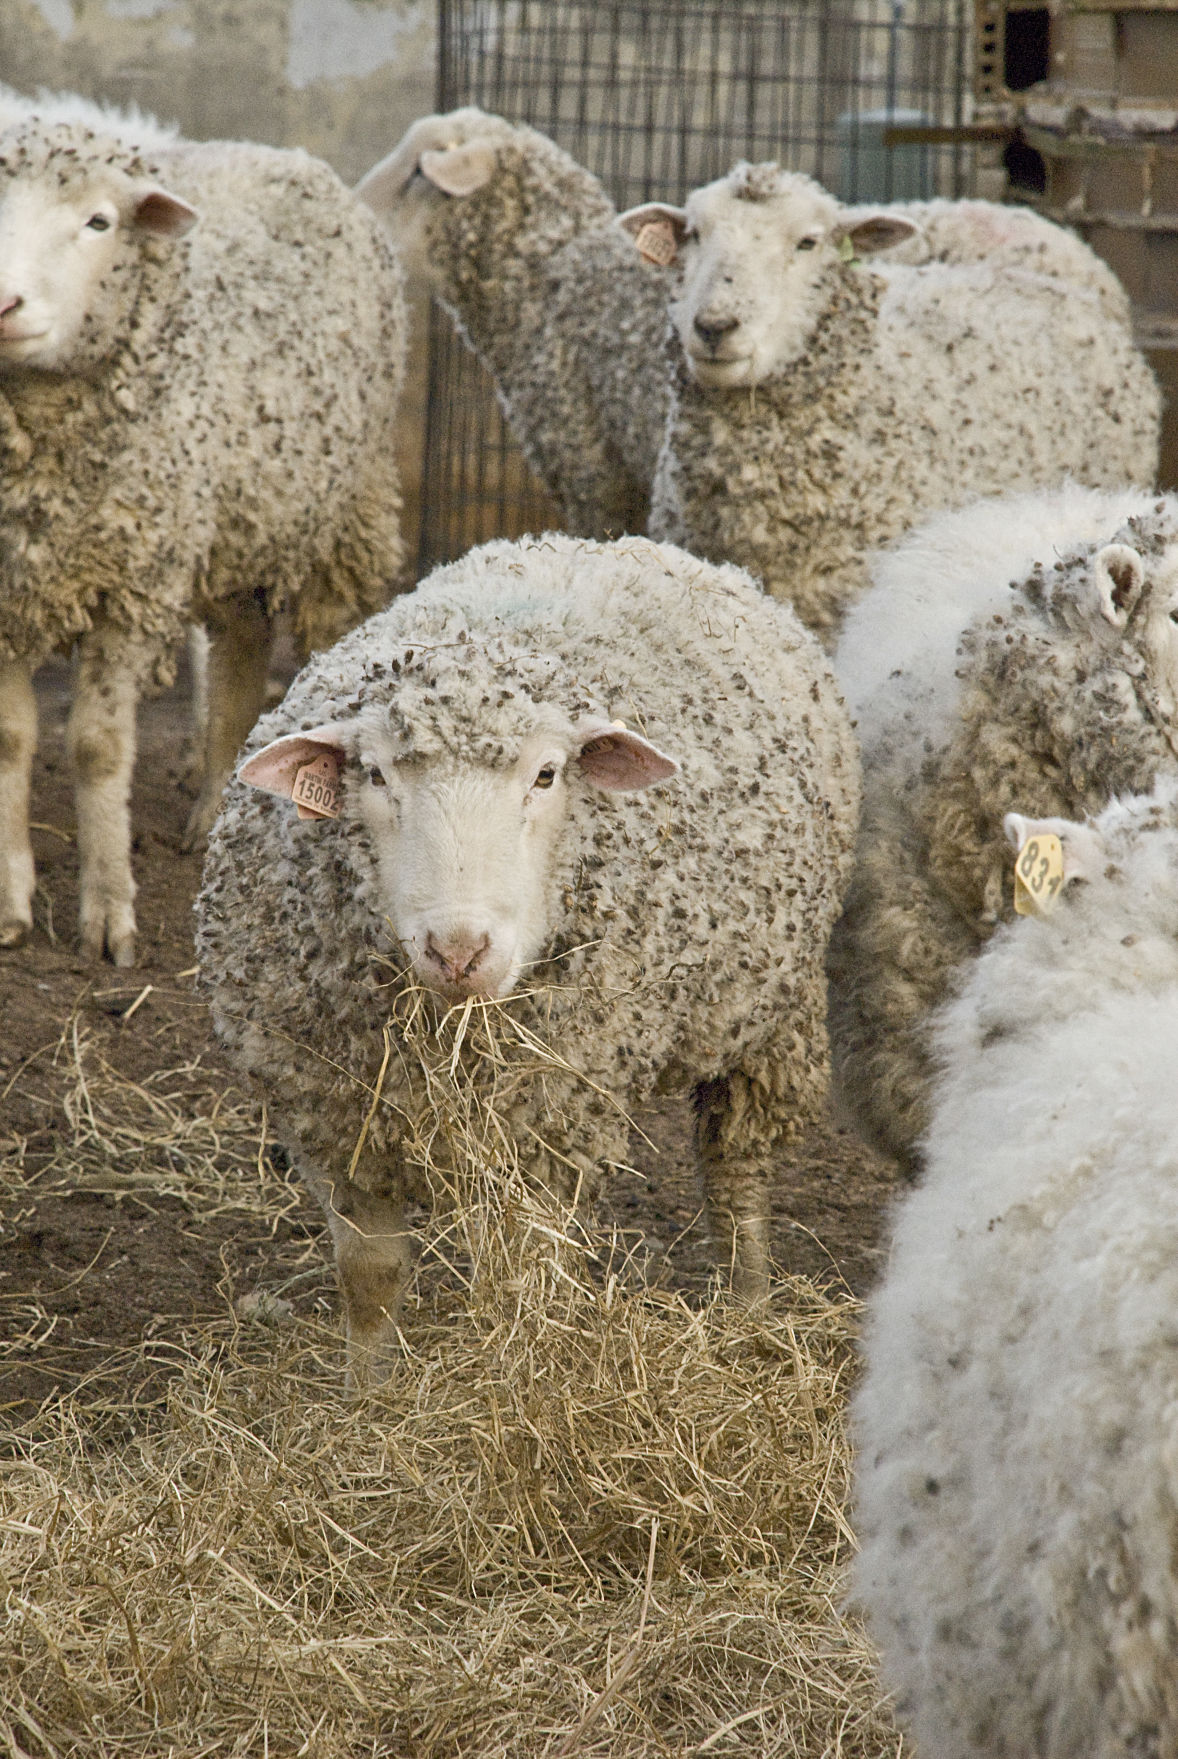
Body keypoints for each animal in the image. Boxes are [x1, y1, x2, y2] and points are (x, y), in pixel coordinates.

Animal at [0, 111, 407, 966]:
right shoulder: (12, 587)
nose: (3, 303)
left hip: (343, 515)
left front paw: (109, 914)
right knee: (241, 655)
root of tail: (275, 148)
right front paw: (11, 906)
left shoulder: (131, 584)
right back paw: (221, 797)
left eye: (99, 222)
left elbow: (97, 748)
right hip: (235, 524)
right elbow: (12, 741)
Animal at [194, 532, 860, 1384]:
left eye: (546, 774)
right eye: (373, 774)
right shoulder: (336, 1114)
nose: (459, 948)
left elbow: (527, 1270)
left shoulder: (551, 1117)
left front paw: (525, 1373)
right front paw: (369, 1394)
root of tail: (622, 543)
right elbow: (369, 1276)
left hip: (770, 1012)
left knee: (735, 1167)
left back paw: (746, 1309)